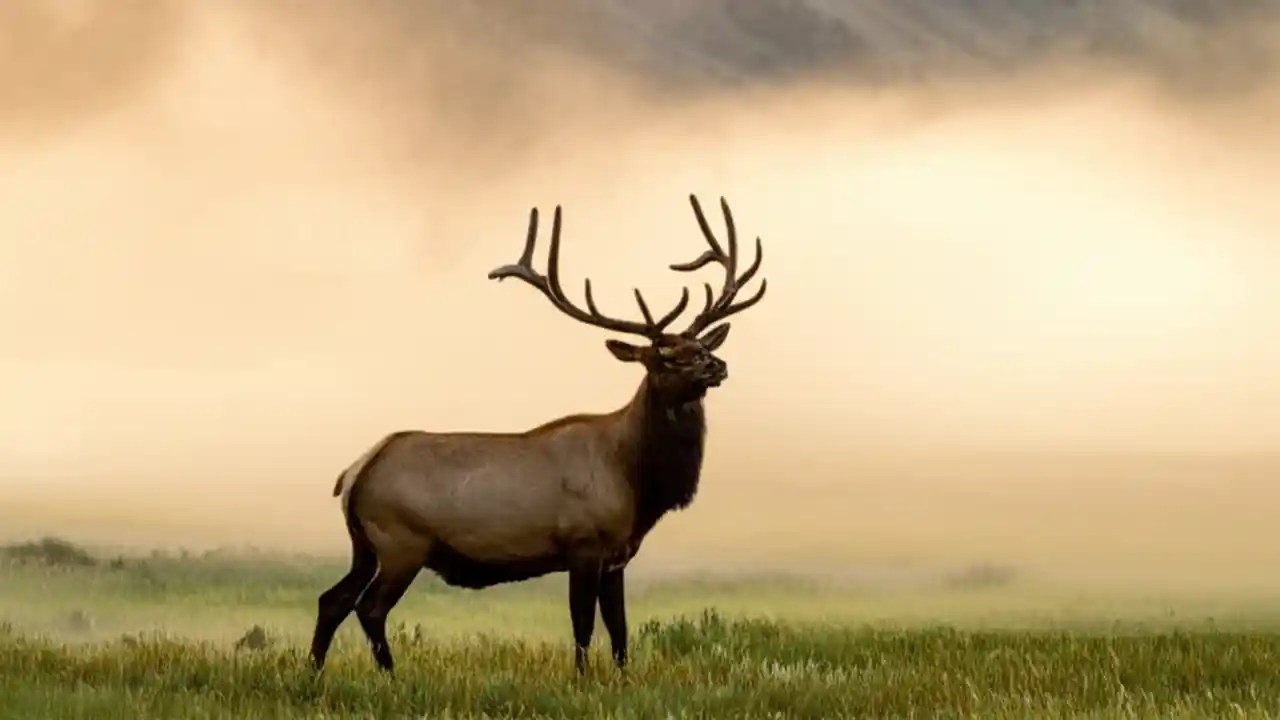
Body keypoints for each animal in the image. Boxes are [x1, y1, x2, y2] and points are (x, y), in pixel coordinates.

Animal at [309, 195, 768, 676]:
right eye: (664, 357)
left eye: (701, 346)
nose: (717, 365)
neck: (637, 480)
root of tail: (354, 473)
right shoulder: (583, 542)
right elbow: (583, 624)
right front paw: (582, 679)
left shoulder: (617, 555)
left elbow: (620, 630)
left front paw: (623, 678)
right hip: (401, 540)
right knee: (369, 607)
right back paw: (390, 676)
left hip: (365, 545)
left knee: (332, 599)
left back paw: (314, 672)